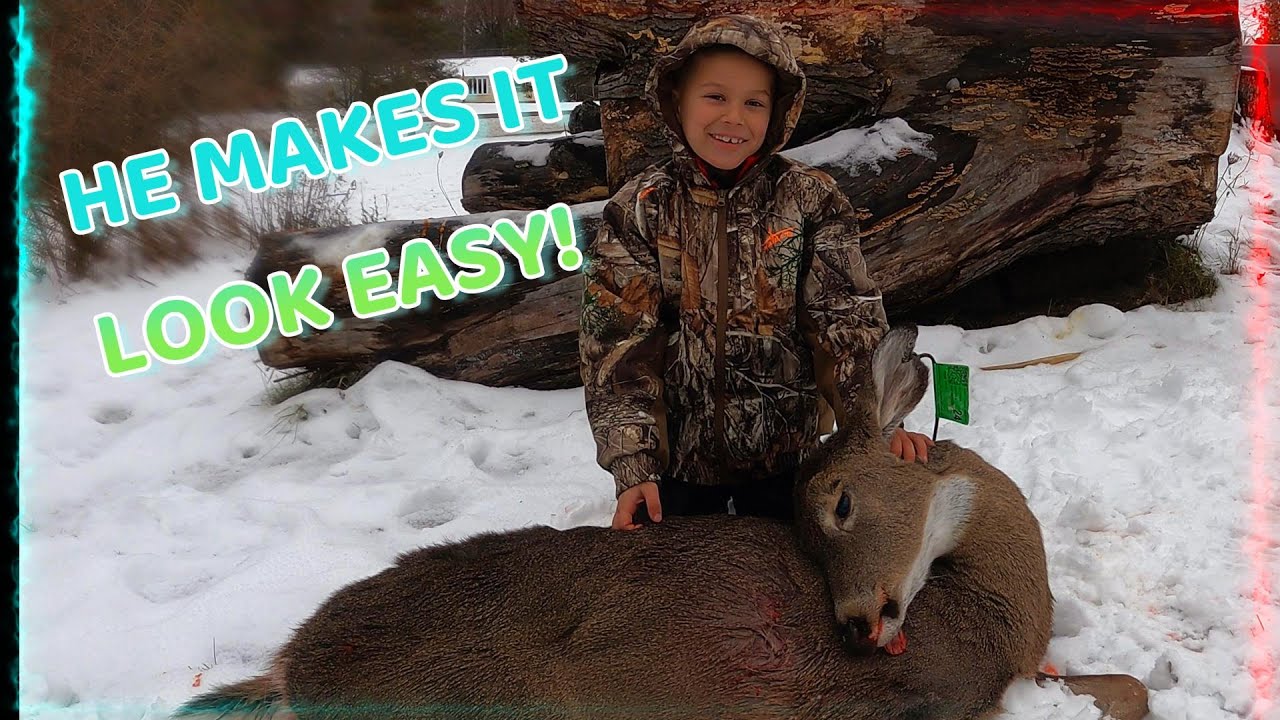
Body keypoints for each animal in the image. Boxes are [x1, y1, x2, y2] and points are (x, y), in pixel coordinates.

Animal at [175, 326, 1148, 720]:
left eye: (836, 501)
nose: (855, 624)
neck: (999, 606)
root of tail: (293, 672)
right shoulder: (932, 697)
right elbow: (1131, 690)